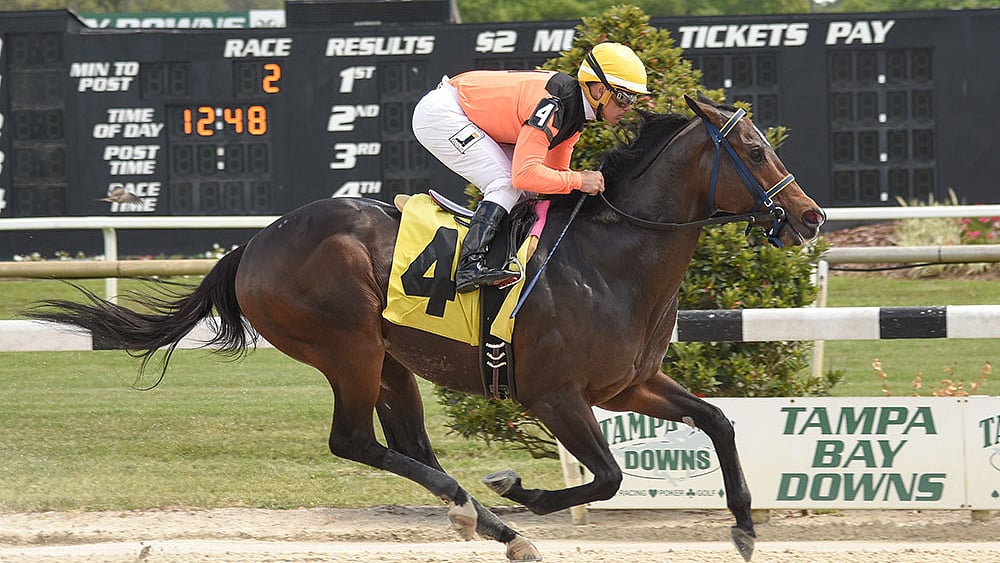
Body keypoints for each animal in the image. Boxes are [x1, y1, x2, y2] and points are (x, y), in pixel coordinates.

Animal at [29, 95, 825, 562]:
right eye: (756, 151)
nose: (812, 216)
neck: (610, 261)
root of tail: (252, 244)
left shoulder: (628, 384)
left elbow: (718, 420)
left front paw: (745, 526)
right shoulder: (555, 396)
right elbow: (606, 475)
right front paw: (520, 487)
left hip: (389, 359)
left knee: (408, 444)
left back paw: (485, 520)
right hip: (347, 345)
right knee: (354, 441)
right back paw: (488, 513)